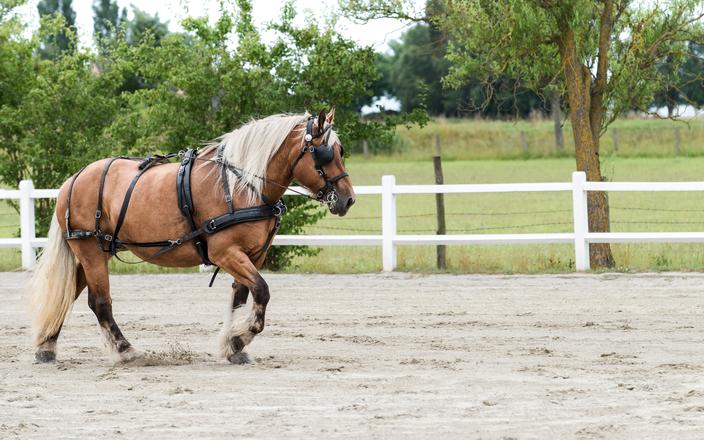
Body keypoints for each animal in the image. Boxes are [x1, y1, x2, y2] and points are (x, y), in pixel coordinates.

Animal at [27, 109, 355, 364]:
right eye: (325, 154)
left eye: (340, 151)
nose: (348, 199)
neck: (241, 186)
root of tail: (73, 180)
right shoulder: (226, 253)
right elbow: (262, 291)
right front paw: (241, 337)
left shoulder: (252, 255)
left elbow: (240, 298)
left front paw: (233, 345)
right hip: (91, 250)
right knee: (100, 302)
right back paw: (125, 350)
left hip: (93, 253)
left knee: (69, 294)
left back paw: (46, 346)